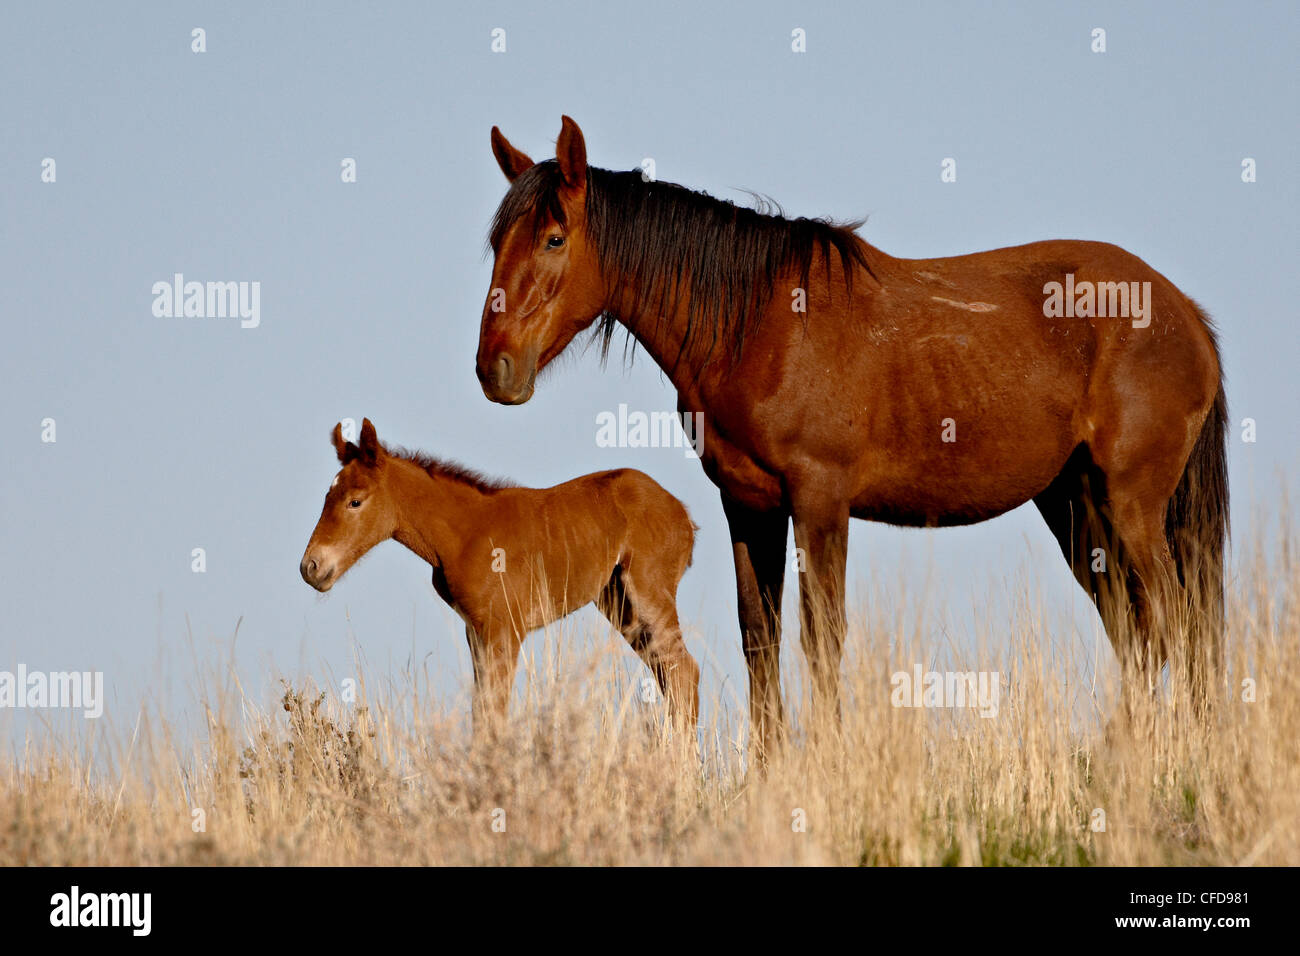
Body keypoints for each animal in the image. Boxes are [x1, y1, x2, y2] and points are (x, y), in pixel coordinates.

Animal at [475, 113, 1227, 754]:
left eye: (554, 238)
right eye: (495, 242)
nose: (495, 368)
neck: (761, 324)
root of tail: (1184, 314)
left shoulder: (820, 502)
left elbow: (823, 639)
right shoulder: (748, 504)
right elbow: (761, 638)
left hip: (1130, 505)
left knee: (1173, 621)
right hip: (1075, 507)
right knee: (1138, 629)